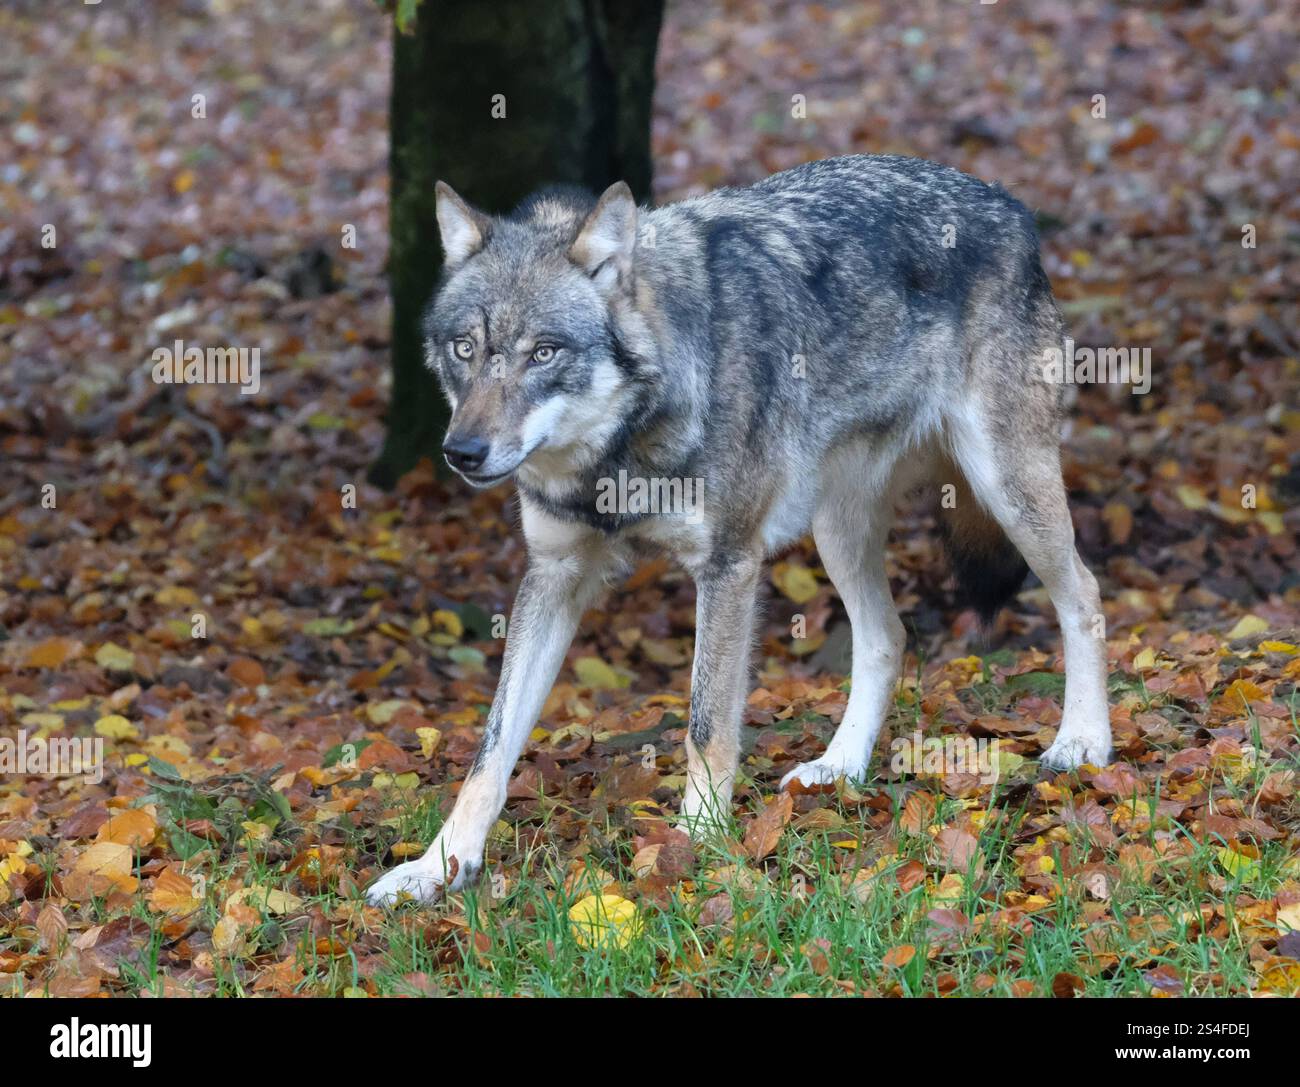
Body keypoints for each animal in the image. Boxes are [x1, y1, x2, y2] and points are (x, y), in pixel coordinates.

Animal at [366, 154, 1113, 905]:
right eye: (465, 348)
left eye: (543, 352)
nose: (462, 452)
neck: (620, 452)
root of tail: (1004, 200)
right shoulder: (553, 576)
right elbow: (489, 749)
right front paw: (436, 867)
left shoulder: (727, 566)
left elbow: (705, 724)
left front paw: (695, 842)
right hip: (837, 527)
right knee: (888, 636)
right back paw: (840, 766)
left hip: (1006, 488)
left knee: (1083, 592)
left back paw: (1083, 742)